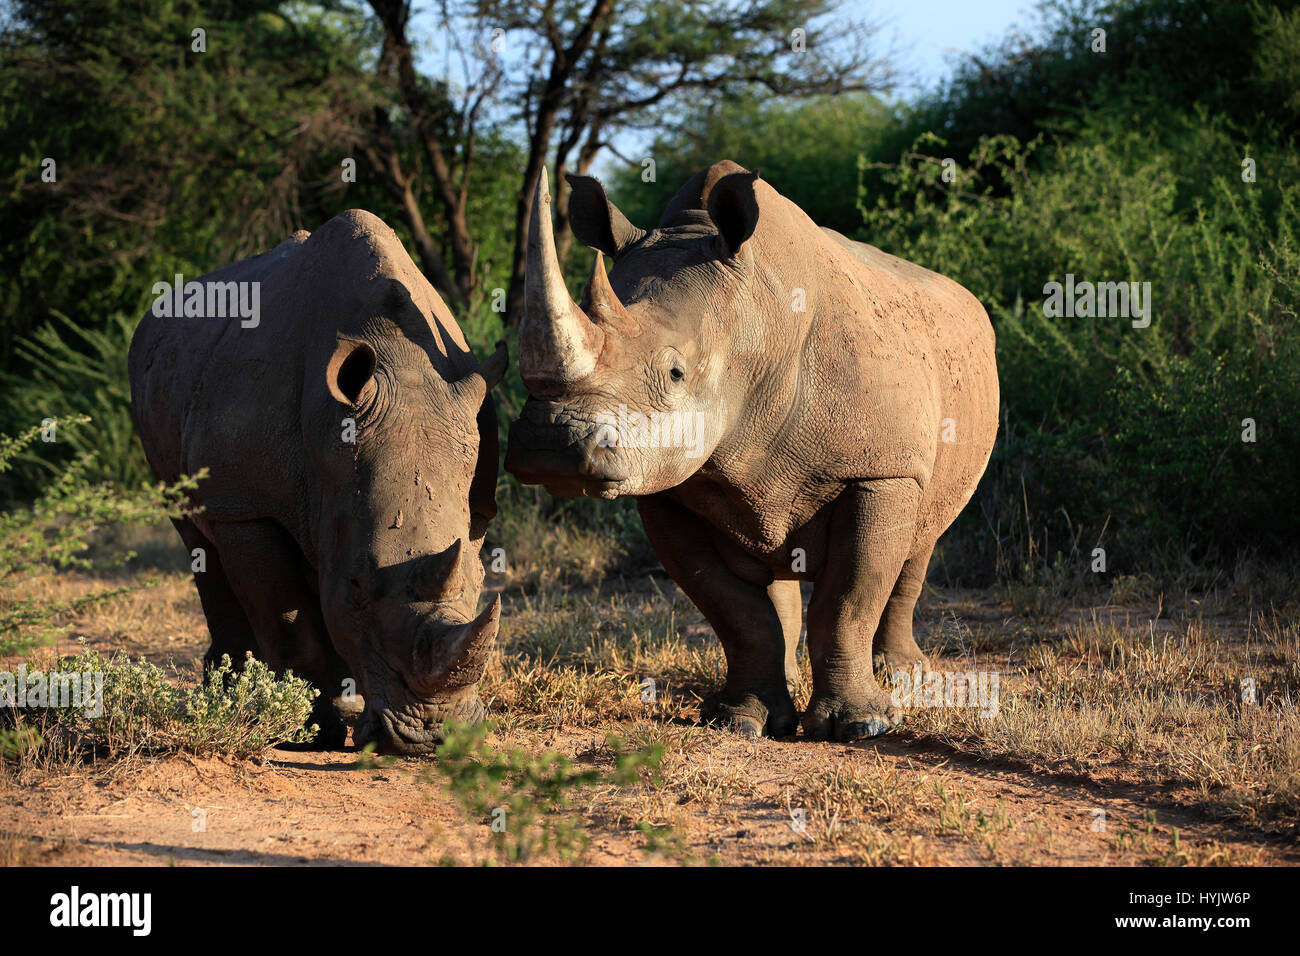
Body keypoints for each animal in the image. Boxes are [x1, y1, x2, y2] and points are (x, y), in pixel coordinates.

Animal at [129, 210, 506, 753]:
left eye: (481, 584)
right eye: (356, 585)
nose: (432, 735)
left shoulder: (475, 503)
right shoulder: (246, 505)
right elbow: (289, 620)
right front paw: (309, 734)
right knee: (194, 535)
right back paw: (228, 693)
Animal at [505, 164, 999, 741]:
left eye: (675, 372)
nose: (549, 445)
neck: (758, 324)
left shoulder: (881, 470)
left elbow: (849, 598)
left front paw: (863, 725)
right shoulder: (668, 488)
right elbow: (734, 609)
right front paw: (738, 720)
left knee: (920, 544)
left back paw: (904, 679)